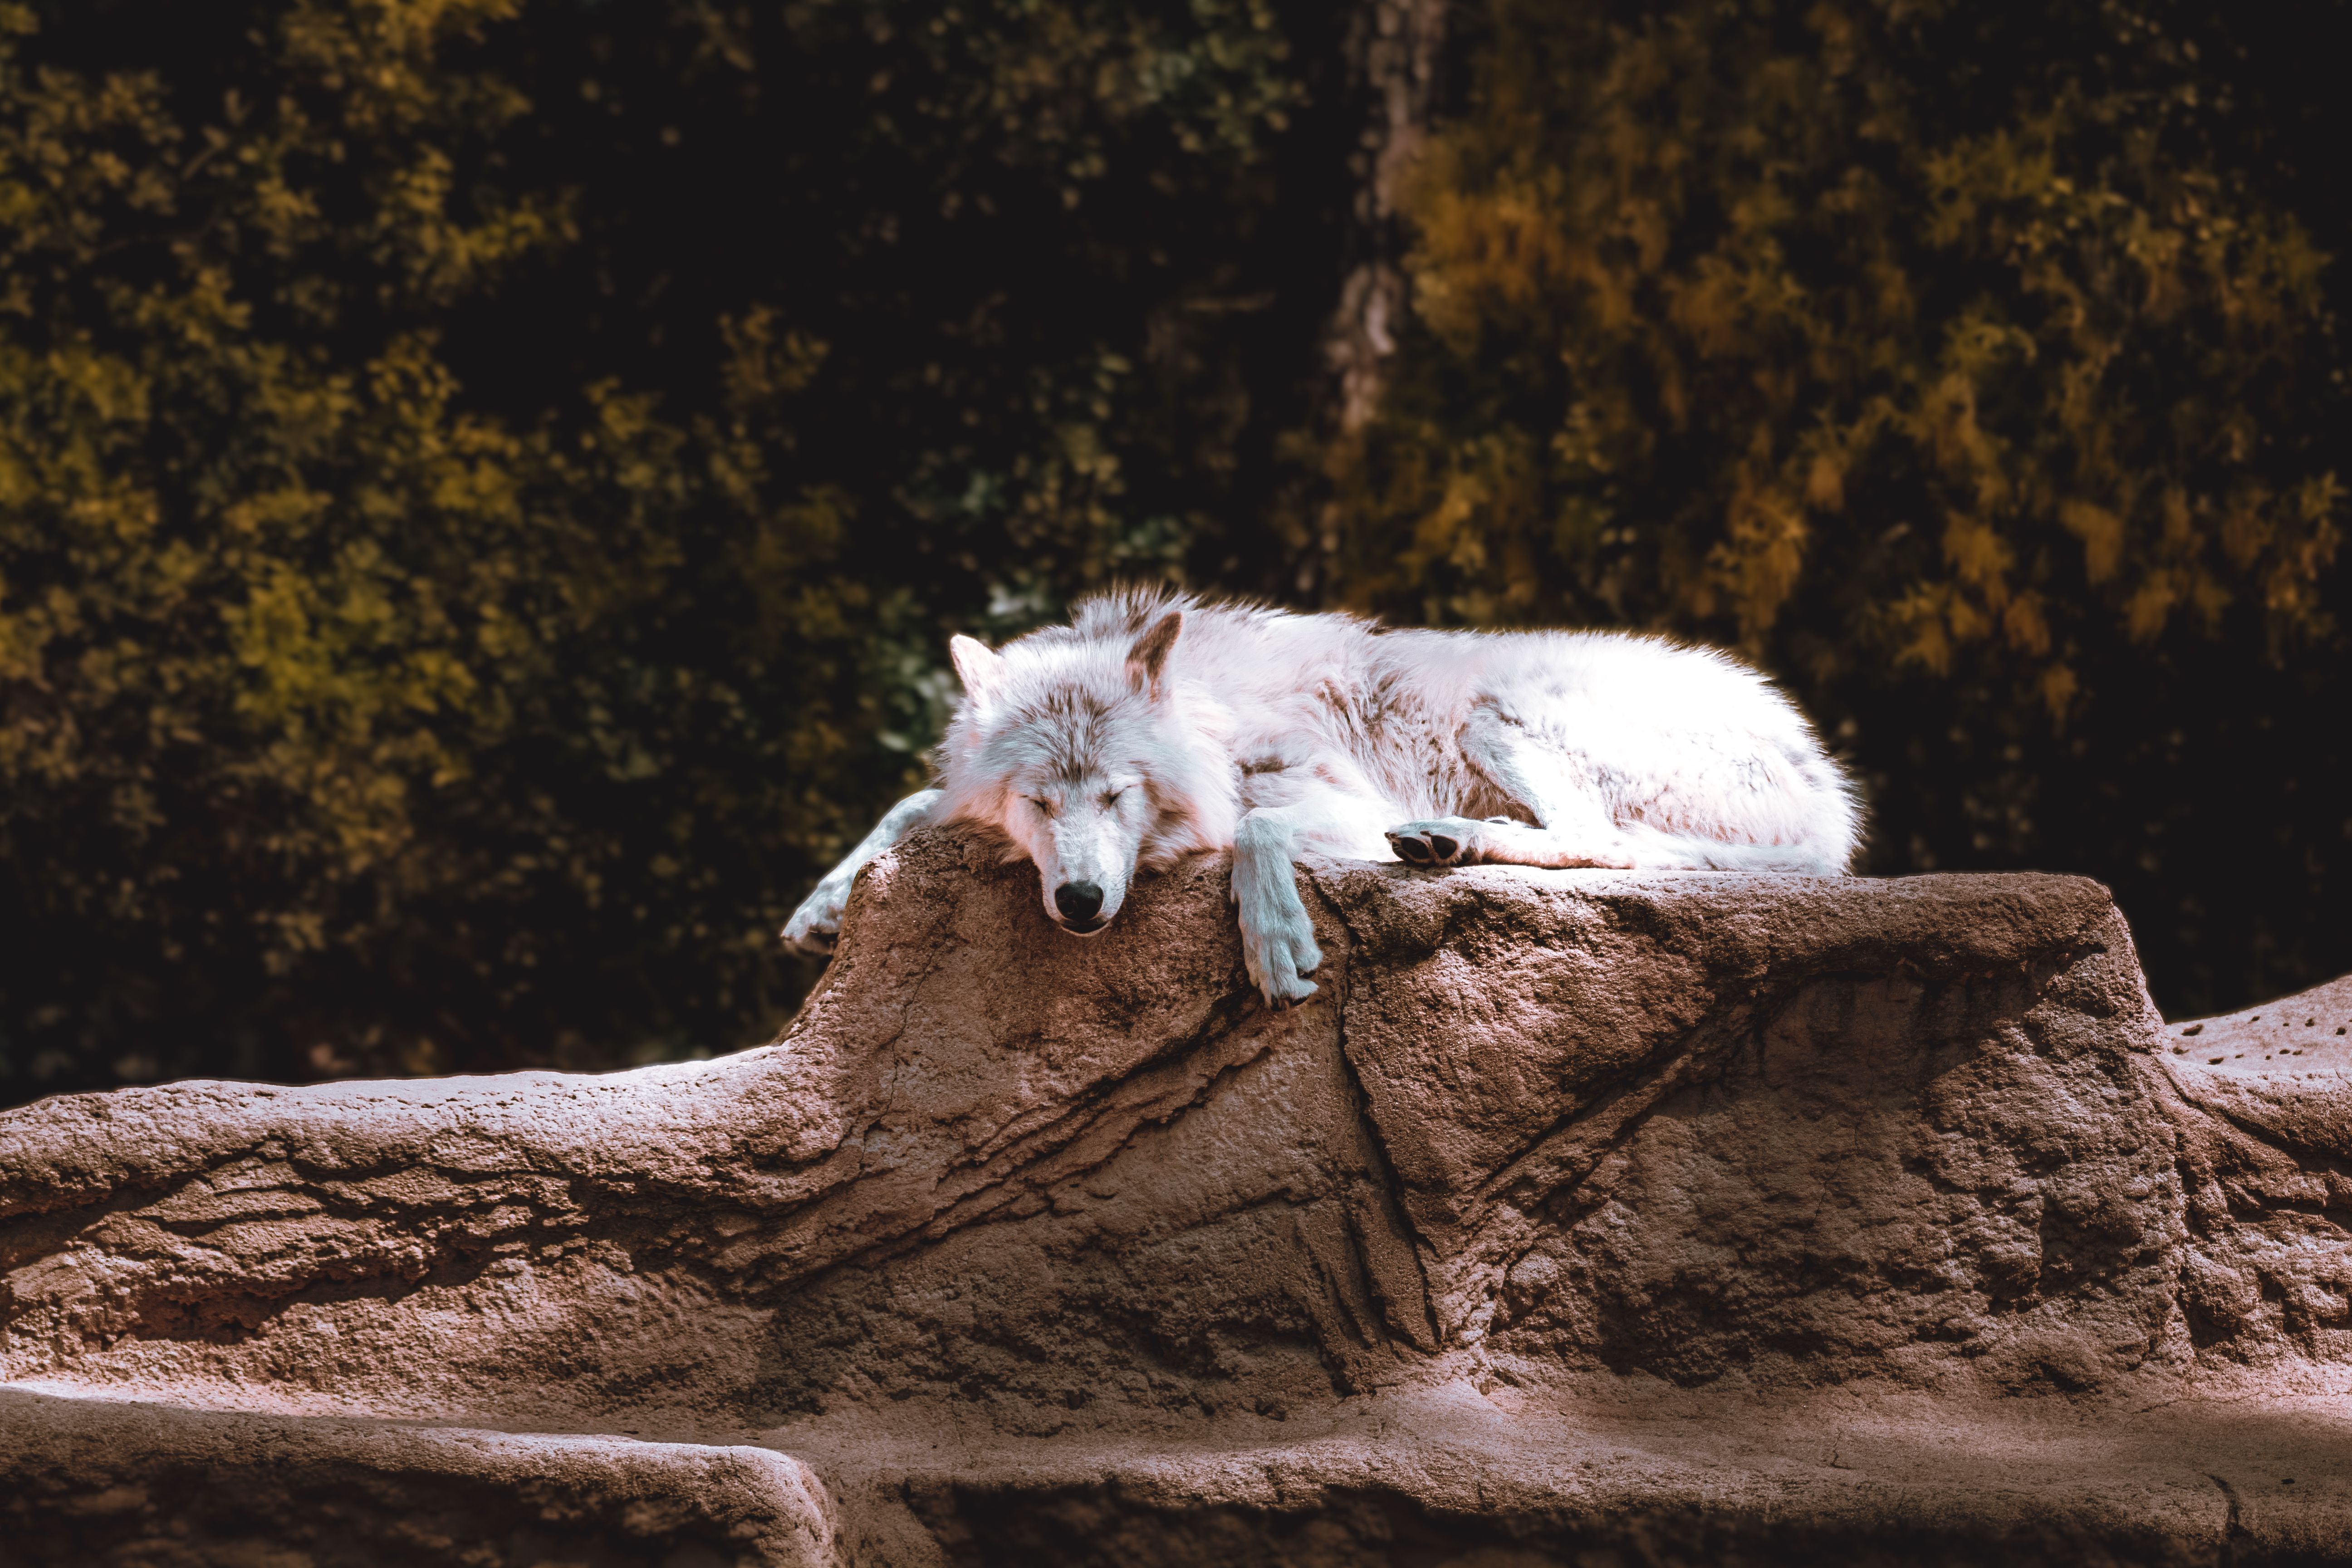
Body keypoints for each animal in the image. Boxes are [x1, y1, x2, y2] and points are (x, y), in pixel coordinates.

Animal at [783, 590, 1862, 1004]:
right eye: (1038, 804)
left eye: (1117, 794)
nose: (1081, 902)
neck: (1212, 720)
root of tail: (1829, 793)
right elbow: (906, 804)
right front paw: (821, 906)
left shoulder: (1336, 799)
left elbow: (1255, 827)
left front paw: (1274, 941)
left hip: (1498, 709)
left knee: (1597, 841)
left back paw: (1446, 839)